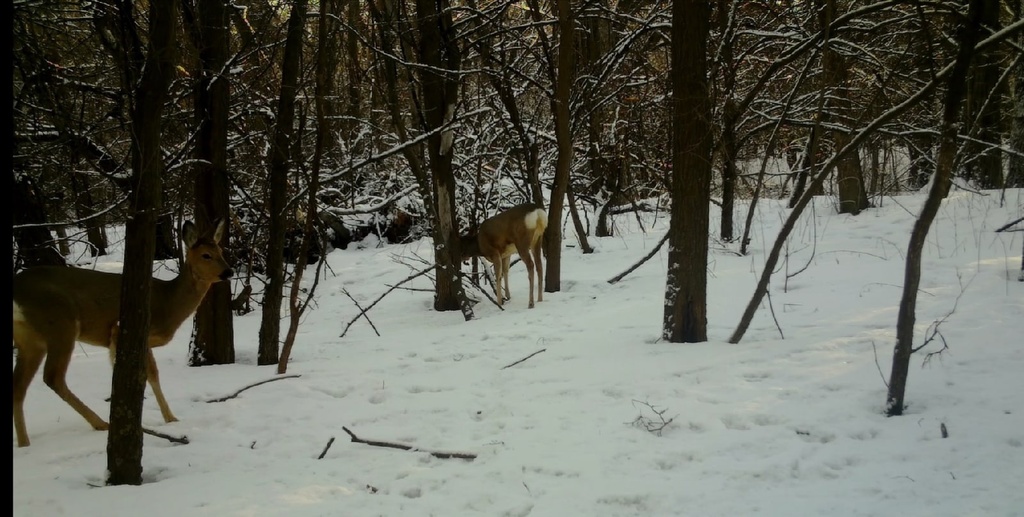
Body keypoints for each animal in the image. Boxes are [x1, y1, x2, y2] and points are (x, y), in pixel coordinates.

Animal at [12, 219, 233, 447]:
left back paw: (24, 442)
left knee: (18, 387)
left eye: (221, 251)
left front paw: (170, 418)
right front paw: (163, 417)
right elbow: (140, 374)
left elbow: (152, 374)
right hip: (60, 323)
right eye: (206, 255)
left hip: (29, 338)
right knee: (53, 377)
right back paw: (100, 423)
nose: (229, 272)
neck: (168, 303)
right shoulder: (120, 330)